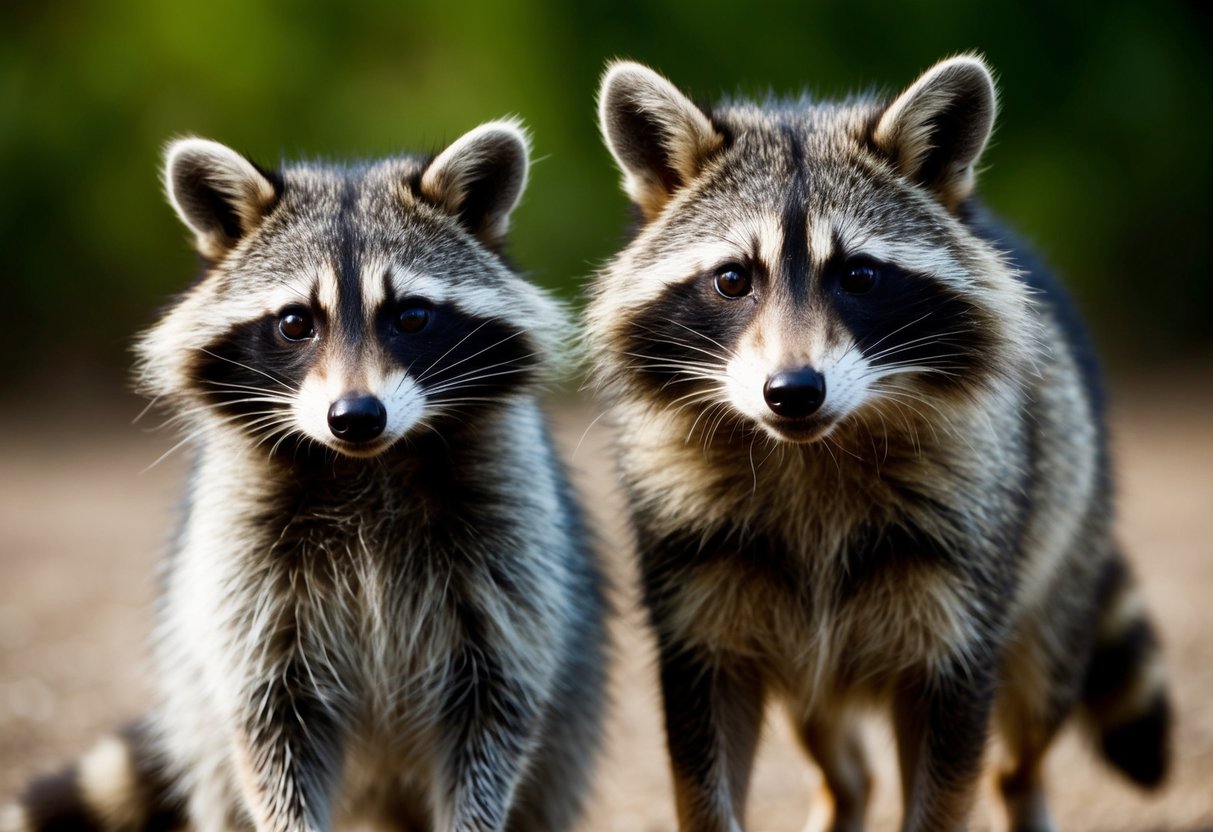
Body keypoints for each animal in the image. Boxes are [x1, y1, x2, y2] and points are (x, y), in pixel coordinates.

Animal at [4, 121, 608, 832]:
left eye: (410, 316)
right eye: (296, 322)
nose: (356, 416)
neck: (365, 467)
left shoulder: (510, 540)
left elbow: (495, 716)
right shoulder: (245, 566)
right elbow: (269, 726)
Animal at [587, 56, 1170, 832]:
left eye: (858, 276)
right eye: (733, 279)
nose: (792, 391)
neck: (812, 452)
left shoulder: (957, 610)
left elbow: (946, 780)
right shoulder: (696, 602)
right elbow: (701, 779)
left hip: (1055, 561)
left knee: (1023, 744)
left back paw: (1020, 783)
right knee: (843, 766)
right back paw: (844, 787)